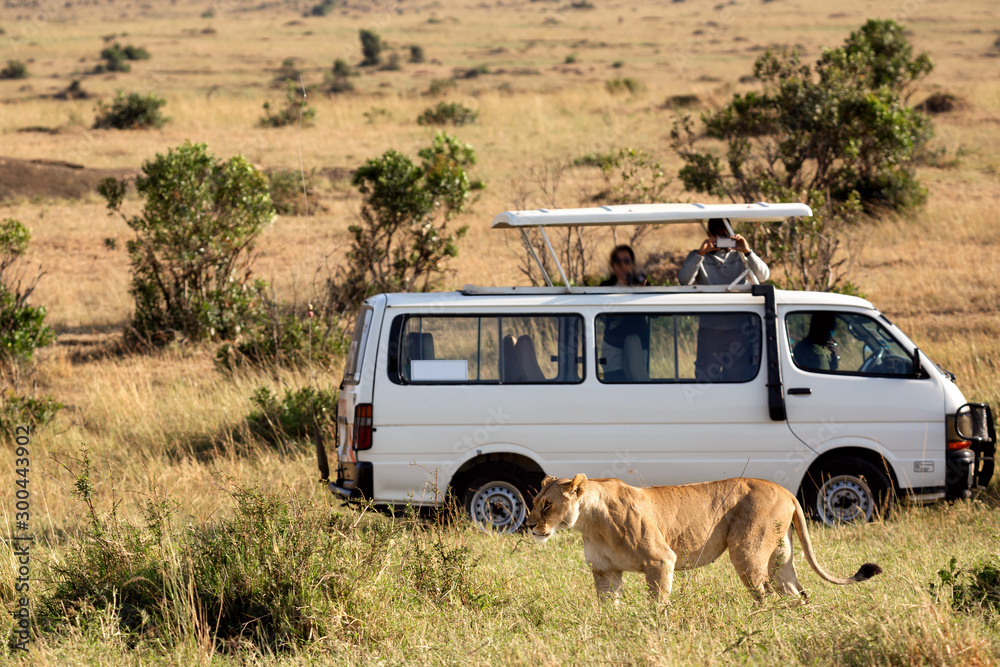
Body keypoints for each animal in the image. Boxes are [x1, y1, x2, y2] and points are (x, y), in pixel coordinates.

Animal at [525, 474, 882, 603]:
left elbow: (657, 604)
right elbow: (607, 607)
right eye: (534, 501)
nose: (529, 525)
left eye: (547, 504)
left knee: (765, 595)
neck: (590, 522)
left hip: (748, 552)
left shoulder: (660, 560)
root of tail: (786, 490)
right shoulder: (605, 572)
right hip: (781, 557)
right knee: (797, 593)